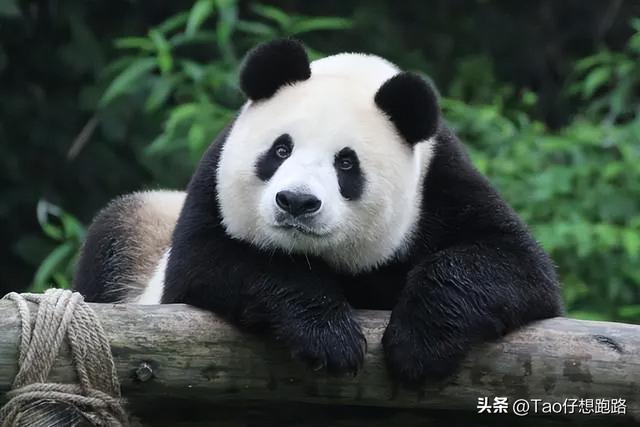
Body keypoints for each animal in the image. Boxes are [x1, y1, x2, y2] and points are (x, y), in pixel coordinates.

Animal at [74, 39, 562, 385]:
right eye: (280, 149)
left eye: (346, 163)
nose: (297, 202)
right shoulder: (209, 187)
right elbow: (211, 261)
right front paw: (330, 340)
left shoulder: (442, 183)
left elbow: (514, 263)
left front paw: (419, 345)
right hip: (143, 225)